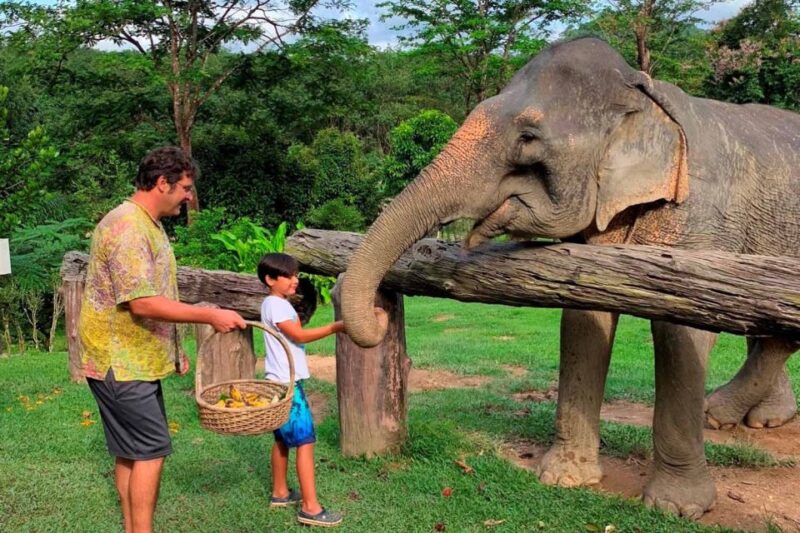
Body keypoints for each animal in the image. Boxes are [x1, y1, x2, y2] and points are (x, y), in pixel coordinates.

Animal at [339, 37, 800, 518]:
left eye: (528, 137)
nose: (379, 315)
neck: (645, 94)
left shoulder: (701, 218)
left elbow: (682, 332)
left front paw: (675, 508)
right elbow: (584, 317)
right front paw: (563, 478)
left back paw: (722, 413)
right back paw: (744, 418)